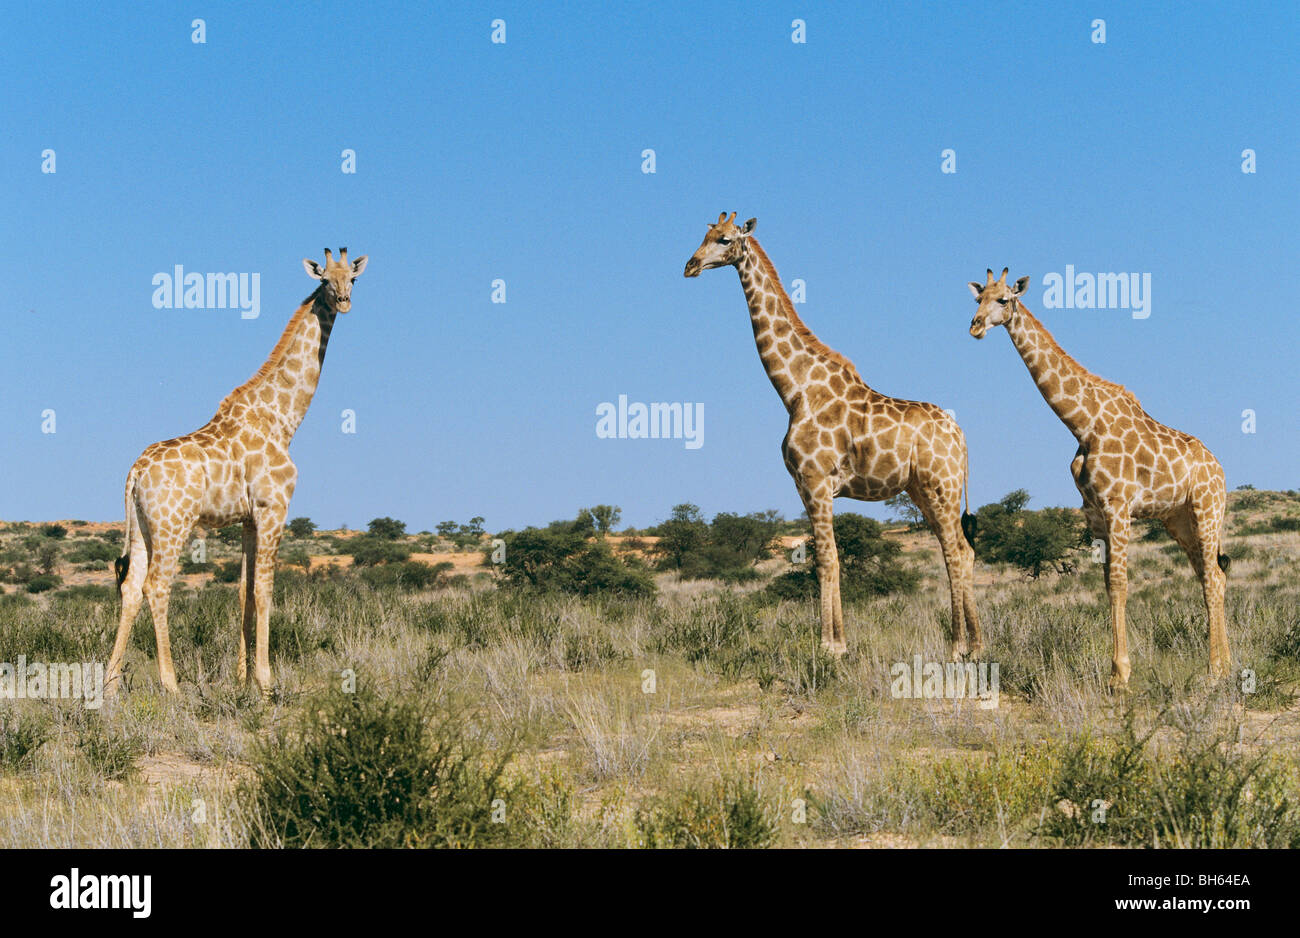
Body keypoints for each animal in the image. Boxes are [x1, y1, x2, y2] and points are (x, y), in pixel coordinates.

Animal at [106, 248, 367, 696]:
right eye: (324, 280)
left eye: (352, 277)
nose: (345, 300)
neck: (282, 419)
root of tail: (135, 471)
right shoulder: (273, 507)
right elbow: (264, 590)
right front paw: (265, 683)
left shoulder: (247, 518)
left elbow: (243, 590)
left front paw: (242, 679)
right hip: (173, 524)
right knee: (156, 586)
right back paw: (172, 686)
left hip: (140, 527)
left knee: (130, 587)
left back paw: (107, 688)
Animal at [685, 213, 979, 657]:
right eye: (703, 236)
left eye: (724, 239)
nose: (690, 265)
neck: (795, 389)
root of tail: (960, 435)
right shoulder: (806, 485)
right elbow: (830, 558)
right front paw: (839, 642)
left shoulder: (816, 479)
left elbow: (825, 559)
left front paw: (828, 647)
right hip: (922, 490)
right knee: (963, 549)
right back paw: (976, 643)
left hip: (940, 486)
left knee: (955, 551)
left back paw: (960, 644)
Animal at [967, 268, 1230, 689]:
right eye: (978, 299)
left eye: (1003, 299)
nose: (975, 326)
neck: (1082, 423)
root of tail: (1220, 468)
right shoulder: (1093, 512)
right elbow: (1106, 585)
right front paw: (1113, 670)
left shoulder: (1118, 507)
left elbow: (1120, 585)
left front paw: (1121, 675)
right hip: (1179, 520)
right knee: (1215, 577)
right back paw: (1226, 664)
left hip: (1207, 511)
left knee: (1210, 579)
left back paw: (1213, 670)